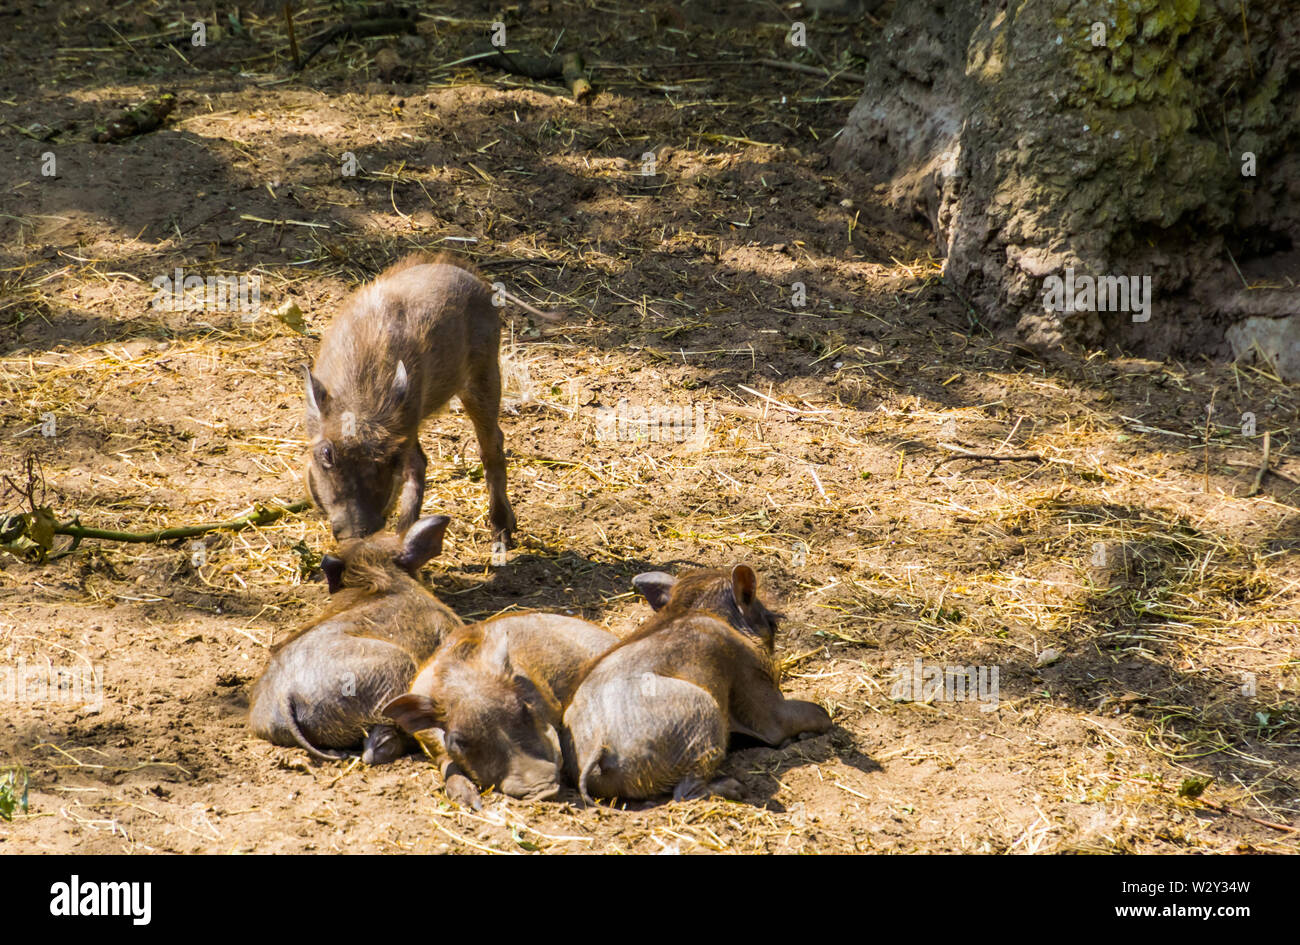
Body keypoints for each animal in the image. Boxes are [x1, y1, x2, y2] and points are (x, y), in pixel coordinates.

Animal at [303, 252, 560, 544]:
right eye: (327, 453)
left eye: (391, 458)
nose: (357, 533)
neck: (360, 396)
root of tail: (475, 277)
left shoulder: (405, 429)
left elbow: (416, 469)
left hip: (484, 377)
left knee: (491, 444)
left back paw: (501, 530)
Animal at [564, 565, 832, 803]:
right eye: (771, 622)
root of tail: (599, 745)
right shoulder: (758, 691)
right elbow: (819, 715)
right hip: (704, 715)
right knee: (685, 794)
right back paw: (735, 788)